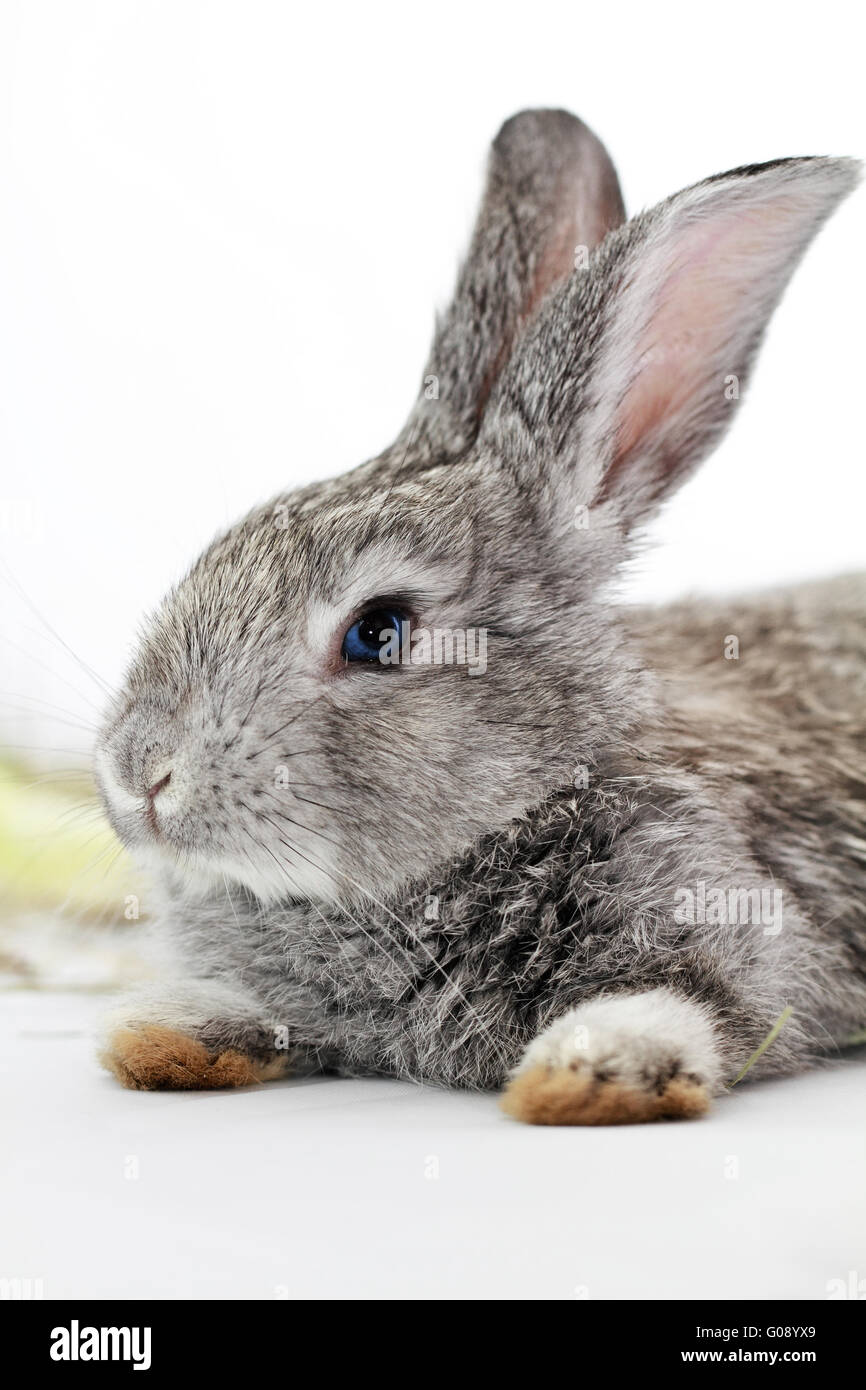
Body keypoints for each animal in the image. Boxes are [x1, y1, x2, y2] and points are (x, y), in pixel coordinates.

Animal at [94, 108, 866, 1124]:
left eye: (378, 631)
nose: (138, 774)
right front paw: (164, 1034)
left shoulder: (740, 929)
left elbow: (693, 1007)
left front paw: (586, 1074)